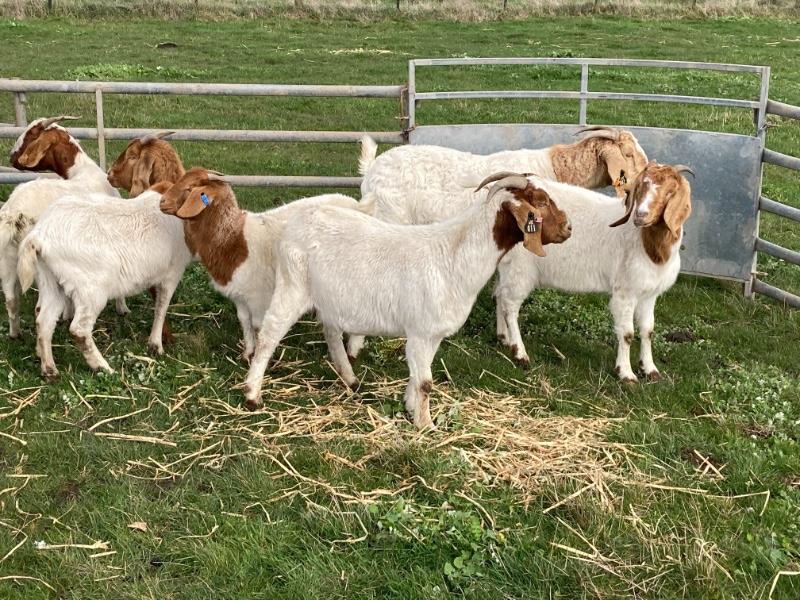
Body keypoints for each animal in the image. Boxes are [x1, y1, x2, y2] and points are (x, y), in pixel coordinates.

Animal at [242, 172, 572, 429]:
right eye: (541, 202)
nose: (569, 228)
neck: (454, 255)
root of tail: (296, 221)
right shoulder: (421, 331)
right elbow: (425, 382)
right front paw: (426, 425)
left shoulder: (432, 333)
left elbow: (419, 377)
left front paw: (412, 410)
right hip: (292, 286)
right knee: (269, 335)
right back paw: (252, 395)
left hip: (329, 297)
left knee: (332, 334)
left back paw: (350, 380)